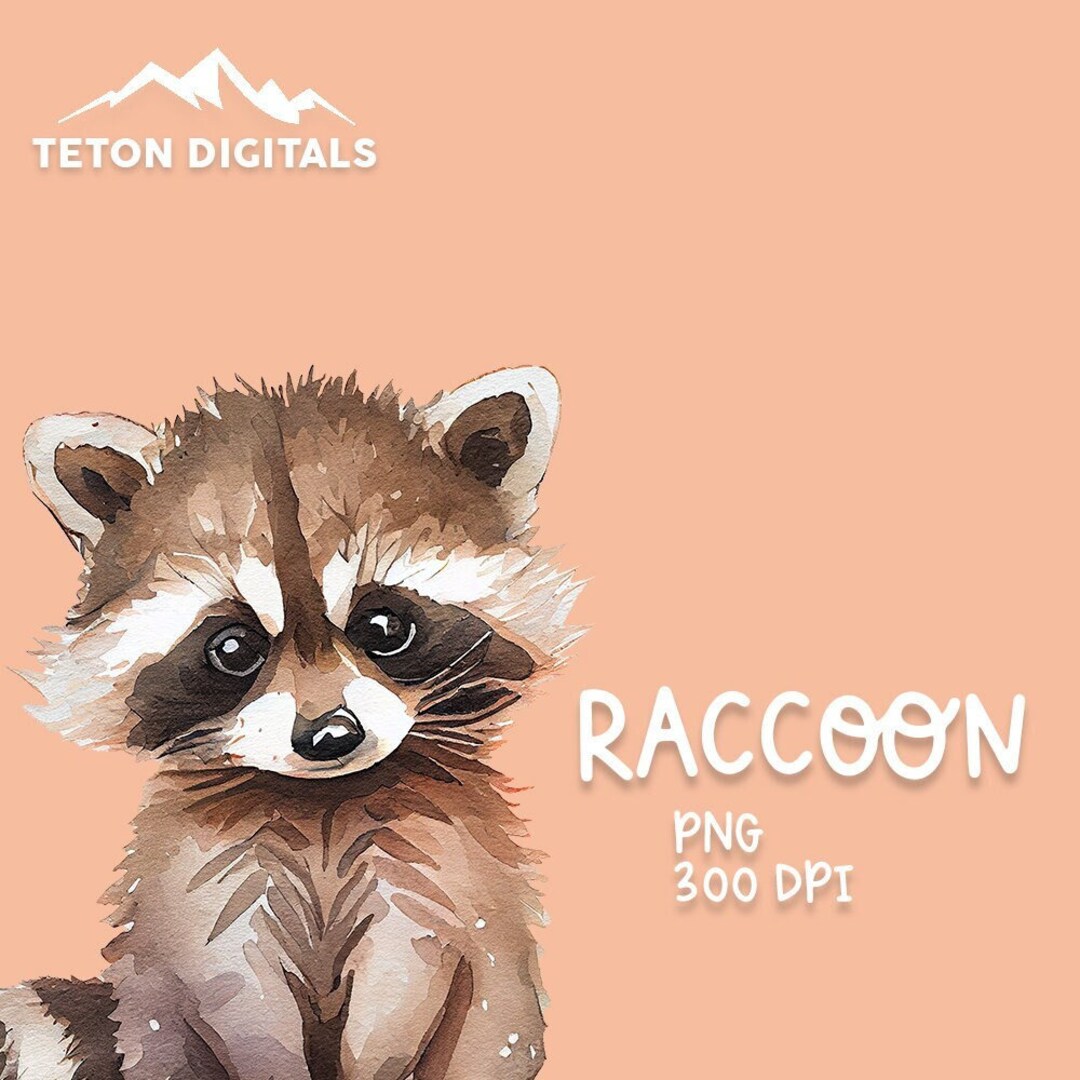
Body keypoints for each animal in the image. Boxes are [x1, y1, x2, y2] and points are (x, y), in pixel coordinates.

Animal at [0, 368, 581, 1080]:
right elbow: (242, 1005)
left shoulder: (442, 875)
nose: (330, 736)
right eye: (232, 647)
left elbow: (405, 991)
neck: (322, 801)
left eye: (384, 626)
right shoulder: (206, 891)